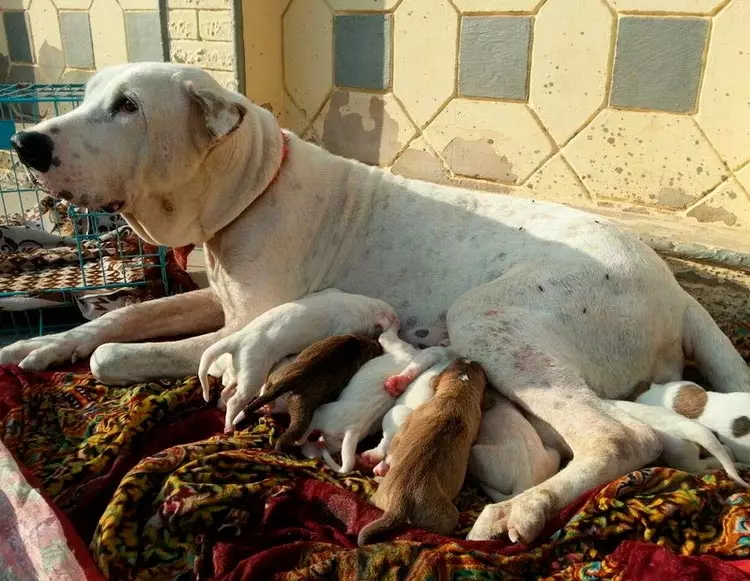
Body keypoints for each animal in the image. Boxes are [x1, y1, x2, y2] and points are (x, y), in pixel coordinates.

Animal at [242, 334, 384, 450]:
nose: (379, 345)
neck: (359, 344)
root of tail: (299, 376)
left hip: (280, 375)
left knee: (268, 385)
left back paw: (268, 405)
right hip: (303, 408)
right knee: (290, 435)